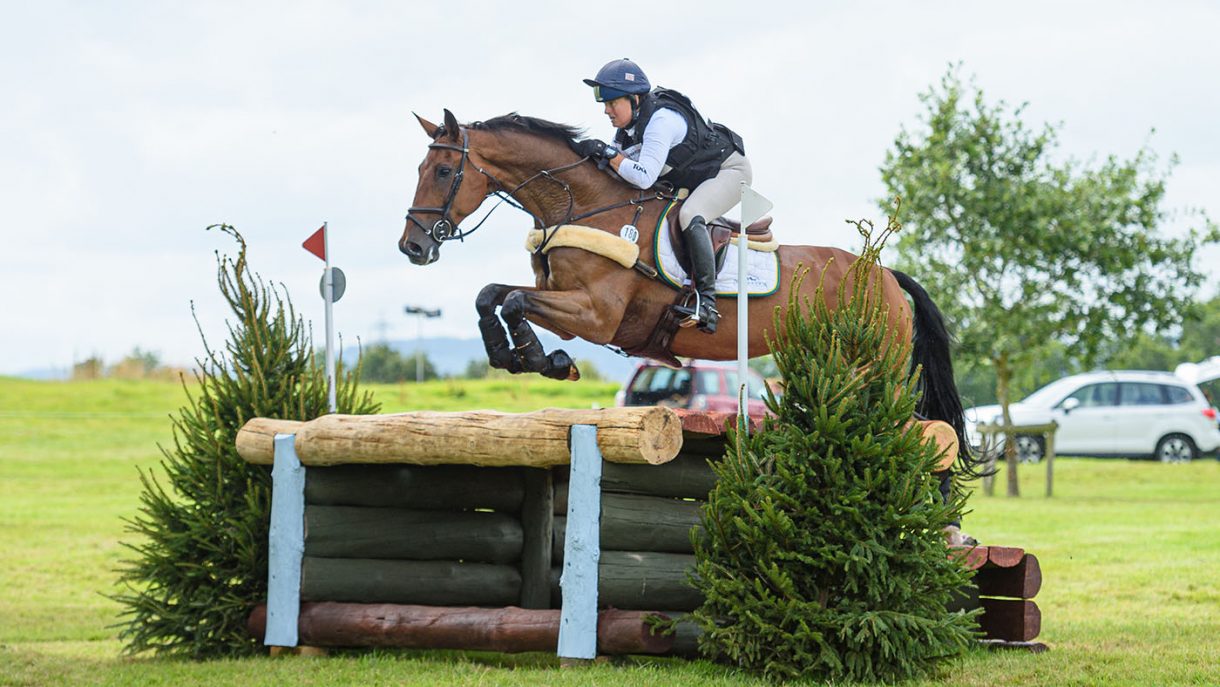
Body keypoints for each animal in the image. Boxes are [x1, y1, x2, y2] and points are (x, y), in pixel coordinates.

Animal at [398, 109, 979, 476]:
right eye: (420, 168)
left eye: (445, 170)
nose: (412, 247)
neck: (583, 204)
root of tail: (885, 274)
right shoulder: (564, 300)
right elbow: (492, 294)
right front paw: (519, 356)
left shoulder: (595, 314)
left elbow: (515, 301)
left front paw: (546, 360)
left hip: (877, 370)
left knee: (915, 432)